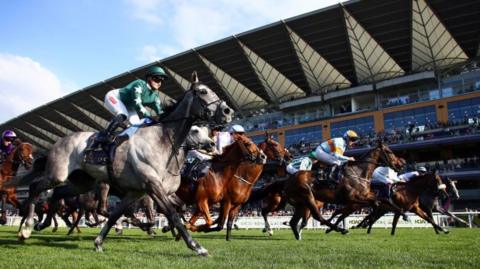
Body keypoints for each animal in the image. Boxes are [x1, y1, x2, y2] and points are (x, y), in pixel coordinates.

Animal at [7, 71, 232, 255]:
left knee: (59, 193)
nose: (227, 111)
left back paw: (41, 225)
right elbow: (172, 214)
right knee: (36, 186)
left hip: (82, 182)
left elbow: (116, 214)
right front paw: (197, 247)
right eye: (203, 91)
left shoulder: (137, 191)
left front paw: (99, 242)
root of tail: (57, 142)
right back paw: (26, 228)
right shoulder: (153, 187)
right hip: (58, 174)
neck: (162, 142)